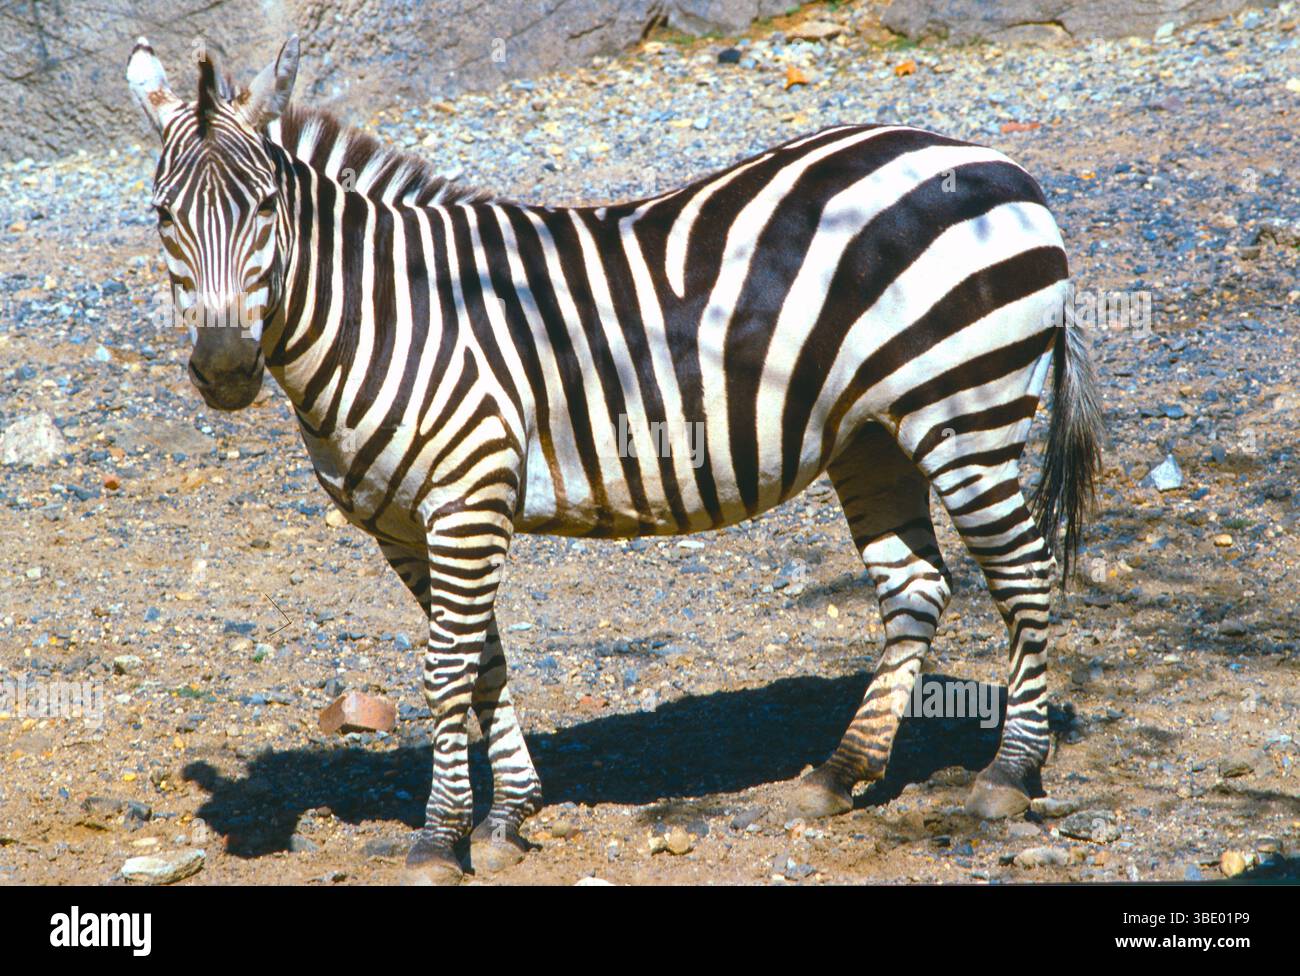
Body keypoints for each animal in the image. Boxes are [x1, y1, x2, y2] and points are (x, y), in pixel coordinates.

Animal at [127, 35, 1103, 884]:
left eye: (265, 209)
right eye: (163, 216)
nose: (225, 369)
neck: (390, 314)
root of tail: (995, 163)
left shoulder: (467, 499)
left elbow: (447, 671)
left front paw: (439, 841)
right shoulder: (405, 524)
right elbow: (483, 661)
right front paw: (508, 817)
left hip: (966, 409)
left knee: (1023, 574)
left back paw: (1008, 775)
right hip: (872, 433)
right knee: (915, 586)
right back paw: (838, 774)